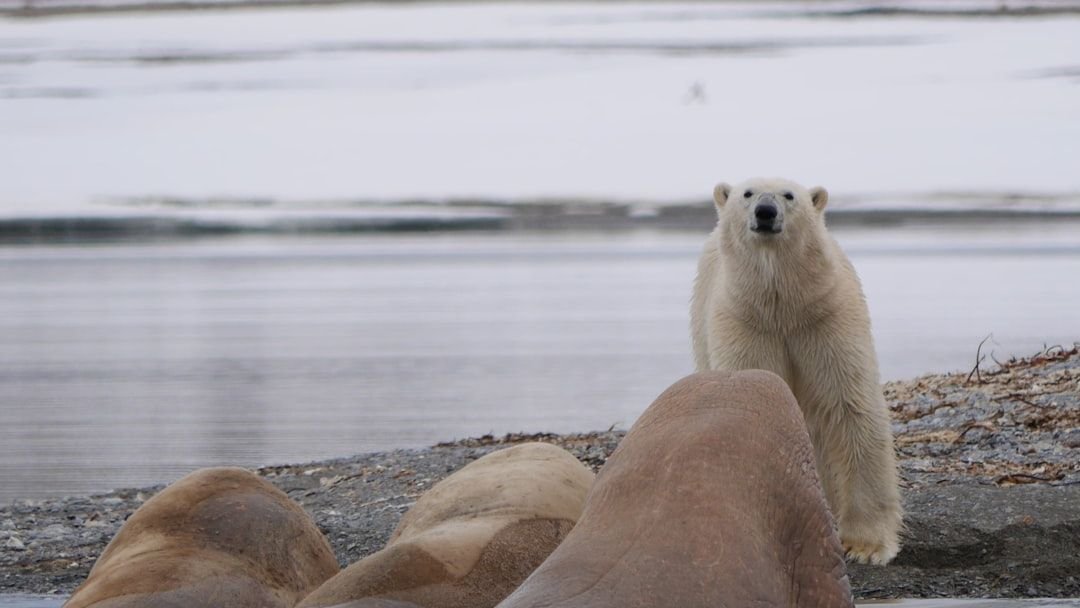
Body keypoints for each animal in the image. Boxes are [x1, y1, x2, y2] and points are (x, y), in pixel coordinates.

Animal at [690, 177, 902, 565]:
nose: (765, 211)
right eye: (747, 194)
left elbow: (849, 407)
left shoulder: (826, 320)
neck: (783, 306)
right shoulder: (746, 324)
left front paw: (866, 546)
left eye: (789, 195)